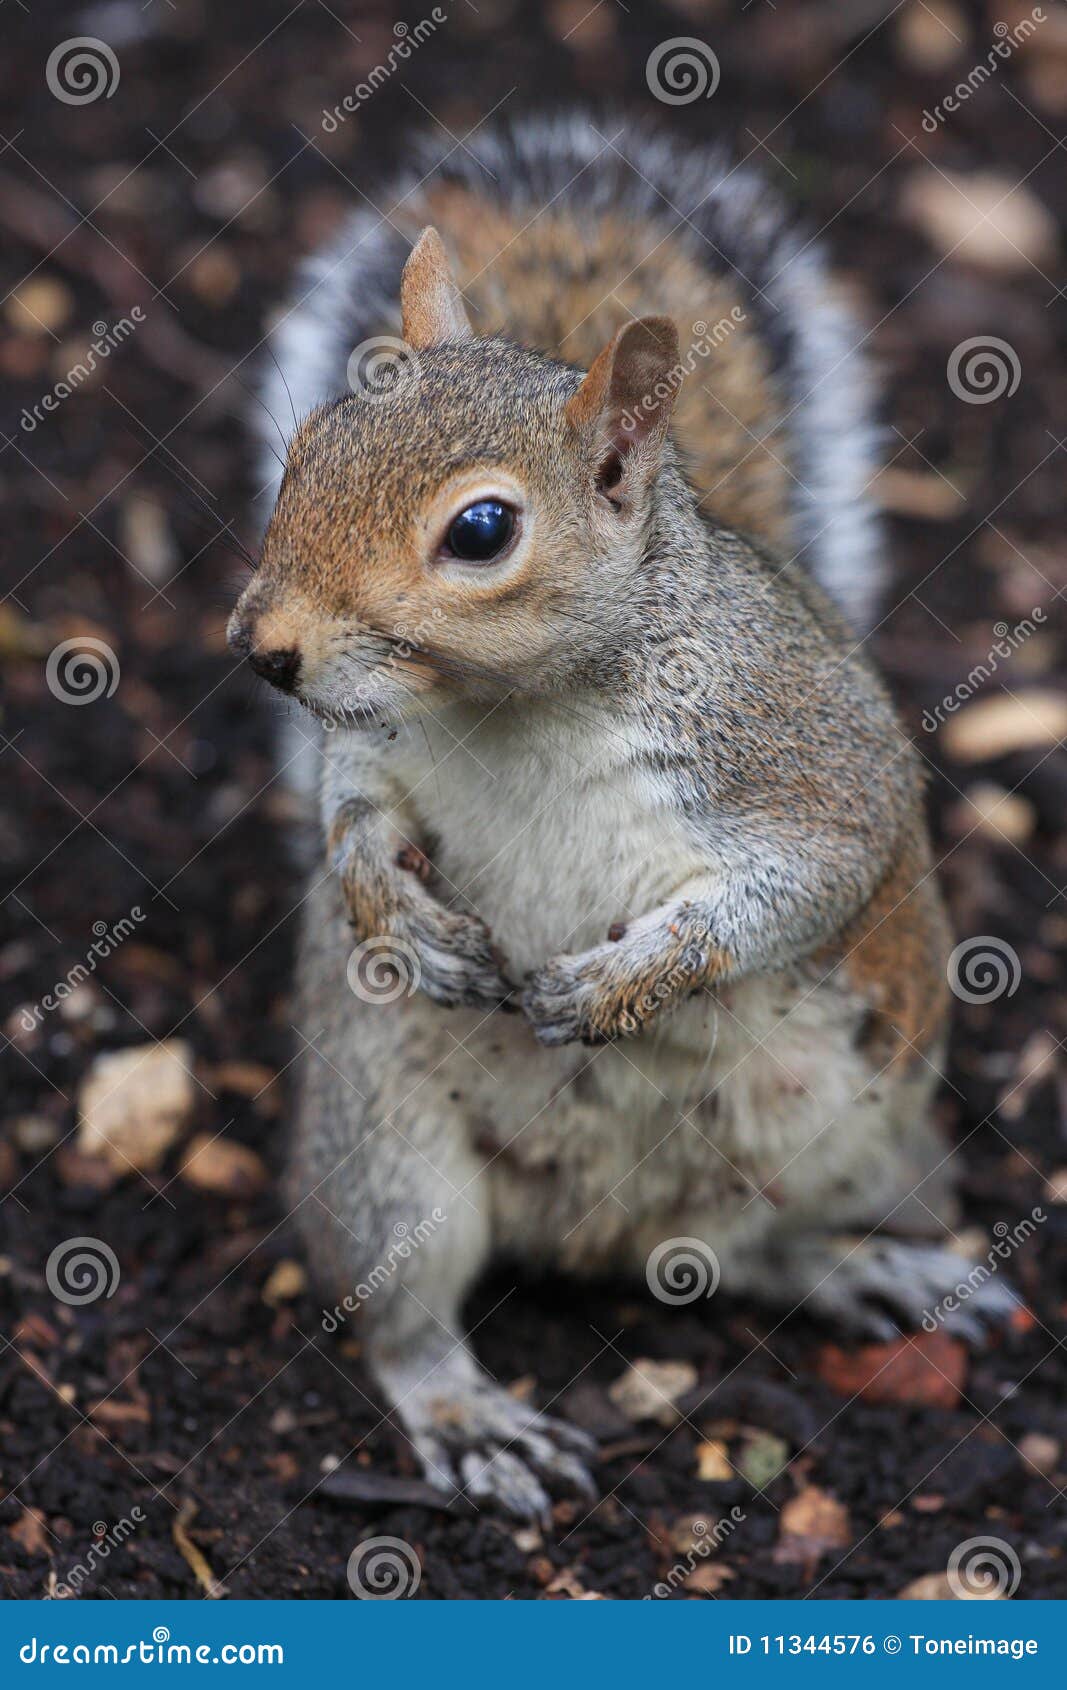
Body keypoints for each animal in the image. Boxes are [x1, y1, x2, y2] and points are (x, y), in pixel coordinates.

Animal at [228, 116, 1016, 1524]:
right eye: (305, 449)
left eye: (483, 529)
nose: (265, 652)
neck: (512, 704)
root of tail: (603, 1233)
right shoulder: (372, 746)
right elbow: (349, 815)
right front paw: (395, 916)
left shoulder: (797, 753)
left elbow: (808, 876)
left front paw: (623, 982)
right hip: (388, 1156)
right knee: (407, 1316)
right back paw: (471, 1415)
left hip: (851, 1129)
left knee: (758, 1249)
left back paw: (858, 1267)